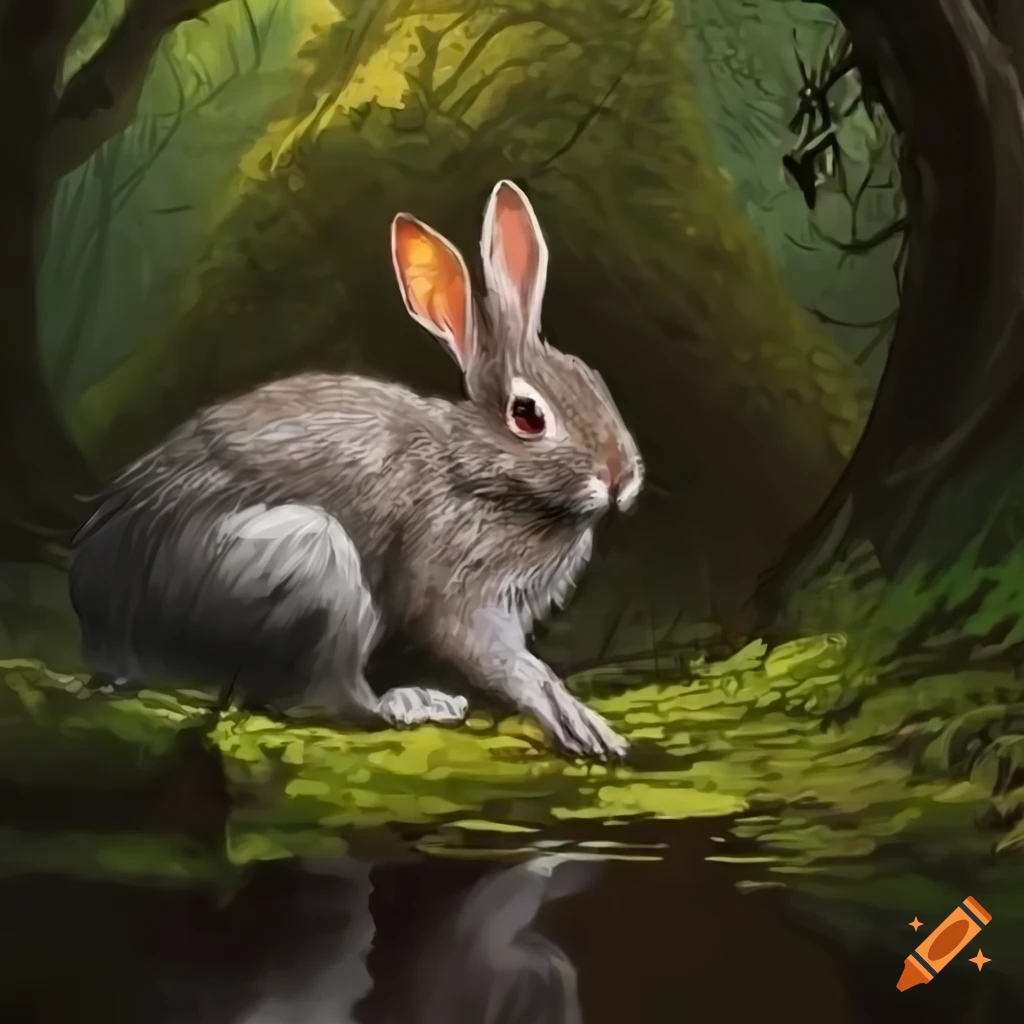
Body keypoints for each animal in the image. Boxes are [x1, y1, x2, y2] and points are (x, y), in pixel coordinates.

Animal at [68, 180, 644, 760]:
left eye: (591, 376)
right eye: (527, 415)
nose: (622, 479)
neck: (477, 471)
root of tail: (106, 636)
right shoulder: (459, 593)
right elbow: (505, 660)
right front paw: (580, 725)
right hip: (307, 566)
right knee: (329, 698)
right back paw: (415, 702)